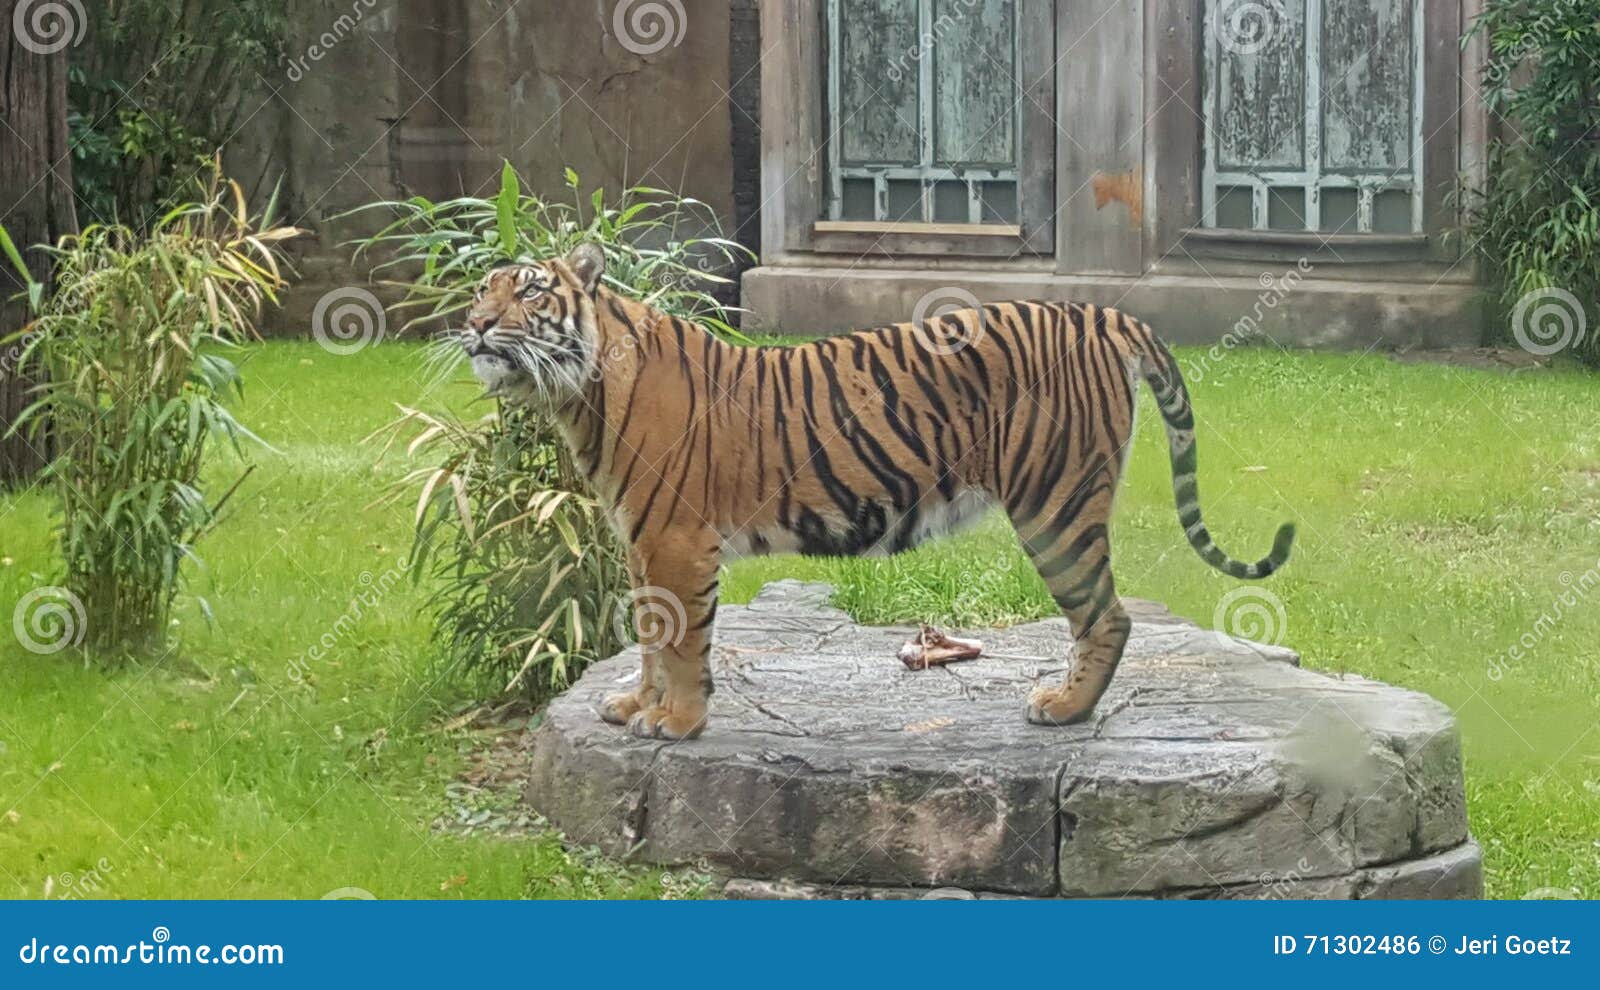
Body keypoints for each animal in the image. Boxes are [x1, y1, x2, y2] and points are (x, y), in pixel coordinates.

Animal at [459, 243, 1294, 741]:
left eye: (530, 293)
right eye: (482, 288)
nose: (474, 325)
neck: (578, 396)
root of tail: (1101, 310)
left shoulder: (676, 542)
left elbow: (683, 640)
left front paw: (680, 720)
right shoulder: (639, 542)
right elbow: (647, 638)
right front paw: (638, 704)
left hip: (1055, 505)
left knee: (1108, 616)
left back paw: (1063, 707)